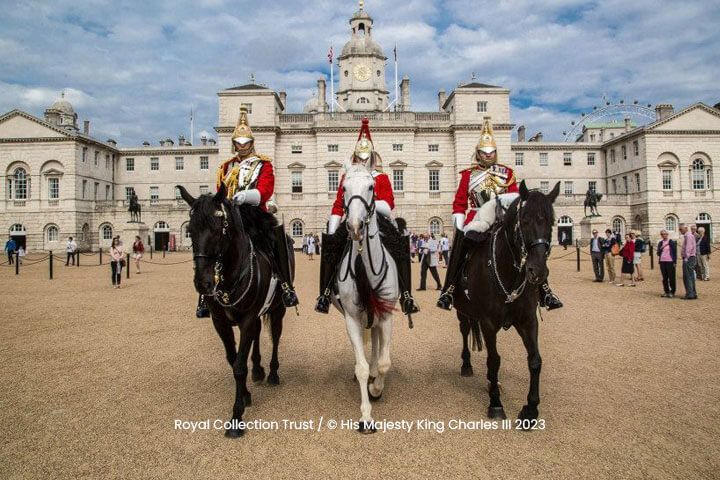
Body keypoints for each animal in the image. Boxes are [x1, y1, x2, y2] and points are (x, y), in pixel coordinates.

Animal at [176, 184, 290, 438]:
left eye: (220, 229)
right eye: (190, 230)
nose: (203, 284)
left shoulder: (247, 319)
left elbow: (239, 366)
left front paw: (236, 417)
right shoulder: (220, 322)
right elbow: (233, 359)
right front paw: (246, 394)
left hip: (278, 309)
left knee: (276, 337)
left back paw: (273, 373)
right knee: (257, 337)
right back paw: (258, 369)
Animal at [456, 182, 564, 426]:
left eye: (552, 221)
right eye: (523, 220)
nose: (537, 272)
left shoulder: (528, 320)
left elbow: (534, 360)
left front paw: (530, 409)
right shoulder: (487, 322)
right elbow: (494, 360)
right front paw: (495, 404)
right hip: (462, 311)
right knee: (465, 331)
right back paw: (467, 365)